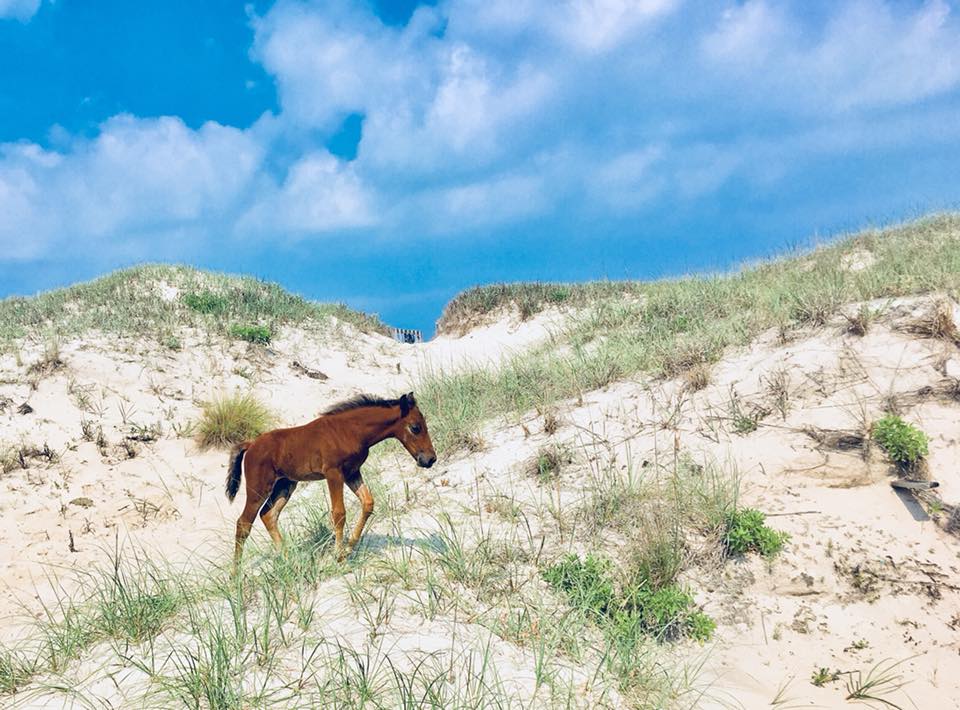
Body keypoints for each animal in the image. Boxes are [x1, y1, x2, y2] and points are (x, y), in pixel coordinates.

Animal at [225, 391, 436, 569]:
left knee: (268, 515)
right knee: (244, 523)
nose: (430, 459)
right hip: (259, 488)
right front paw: (339, 555)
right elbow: (339, 513)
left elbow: (368, 503)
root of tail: (251, 444)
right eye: (415, 427)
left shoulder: (352, 473)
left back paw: (289, 559)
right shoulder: (334, 473)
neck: (349, 430)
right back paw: (236, 575)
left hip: (285, 485)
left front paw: (349, 547)